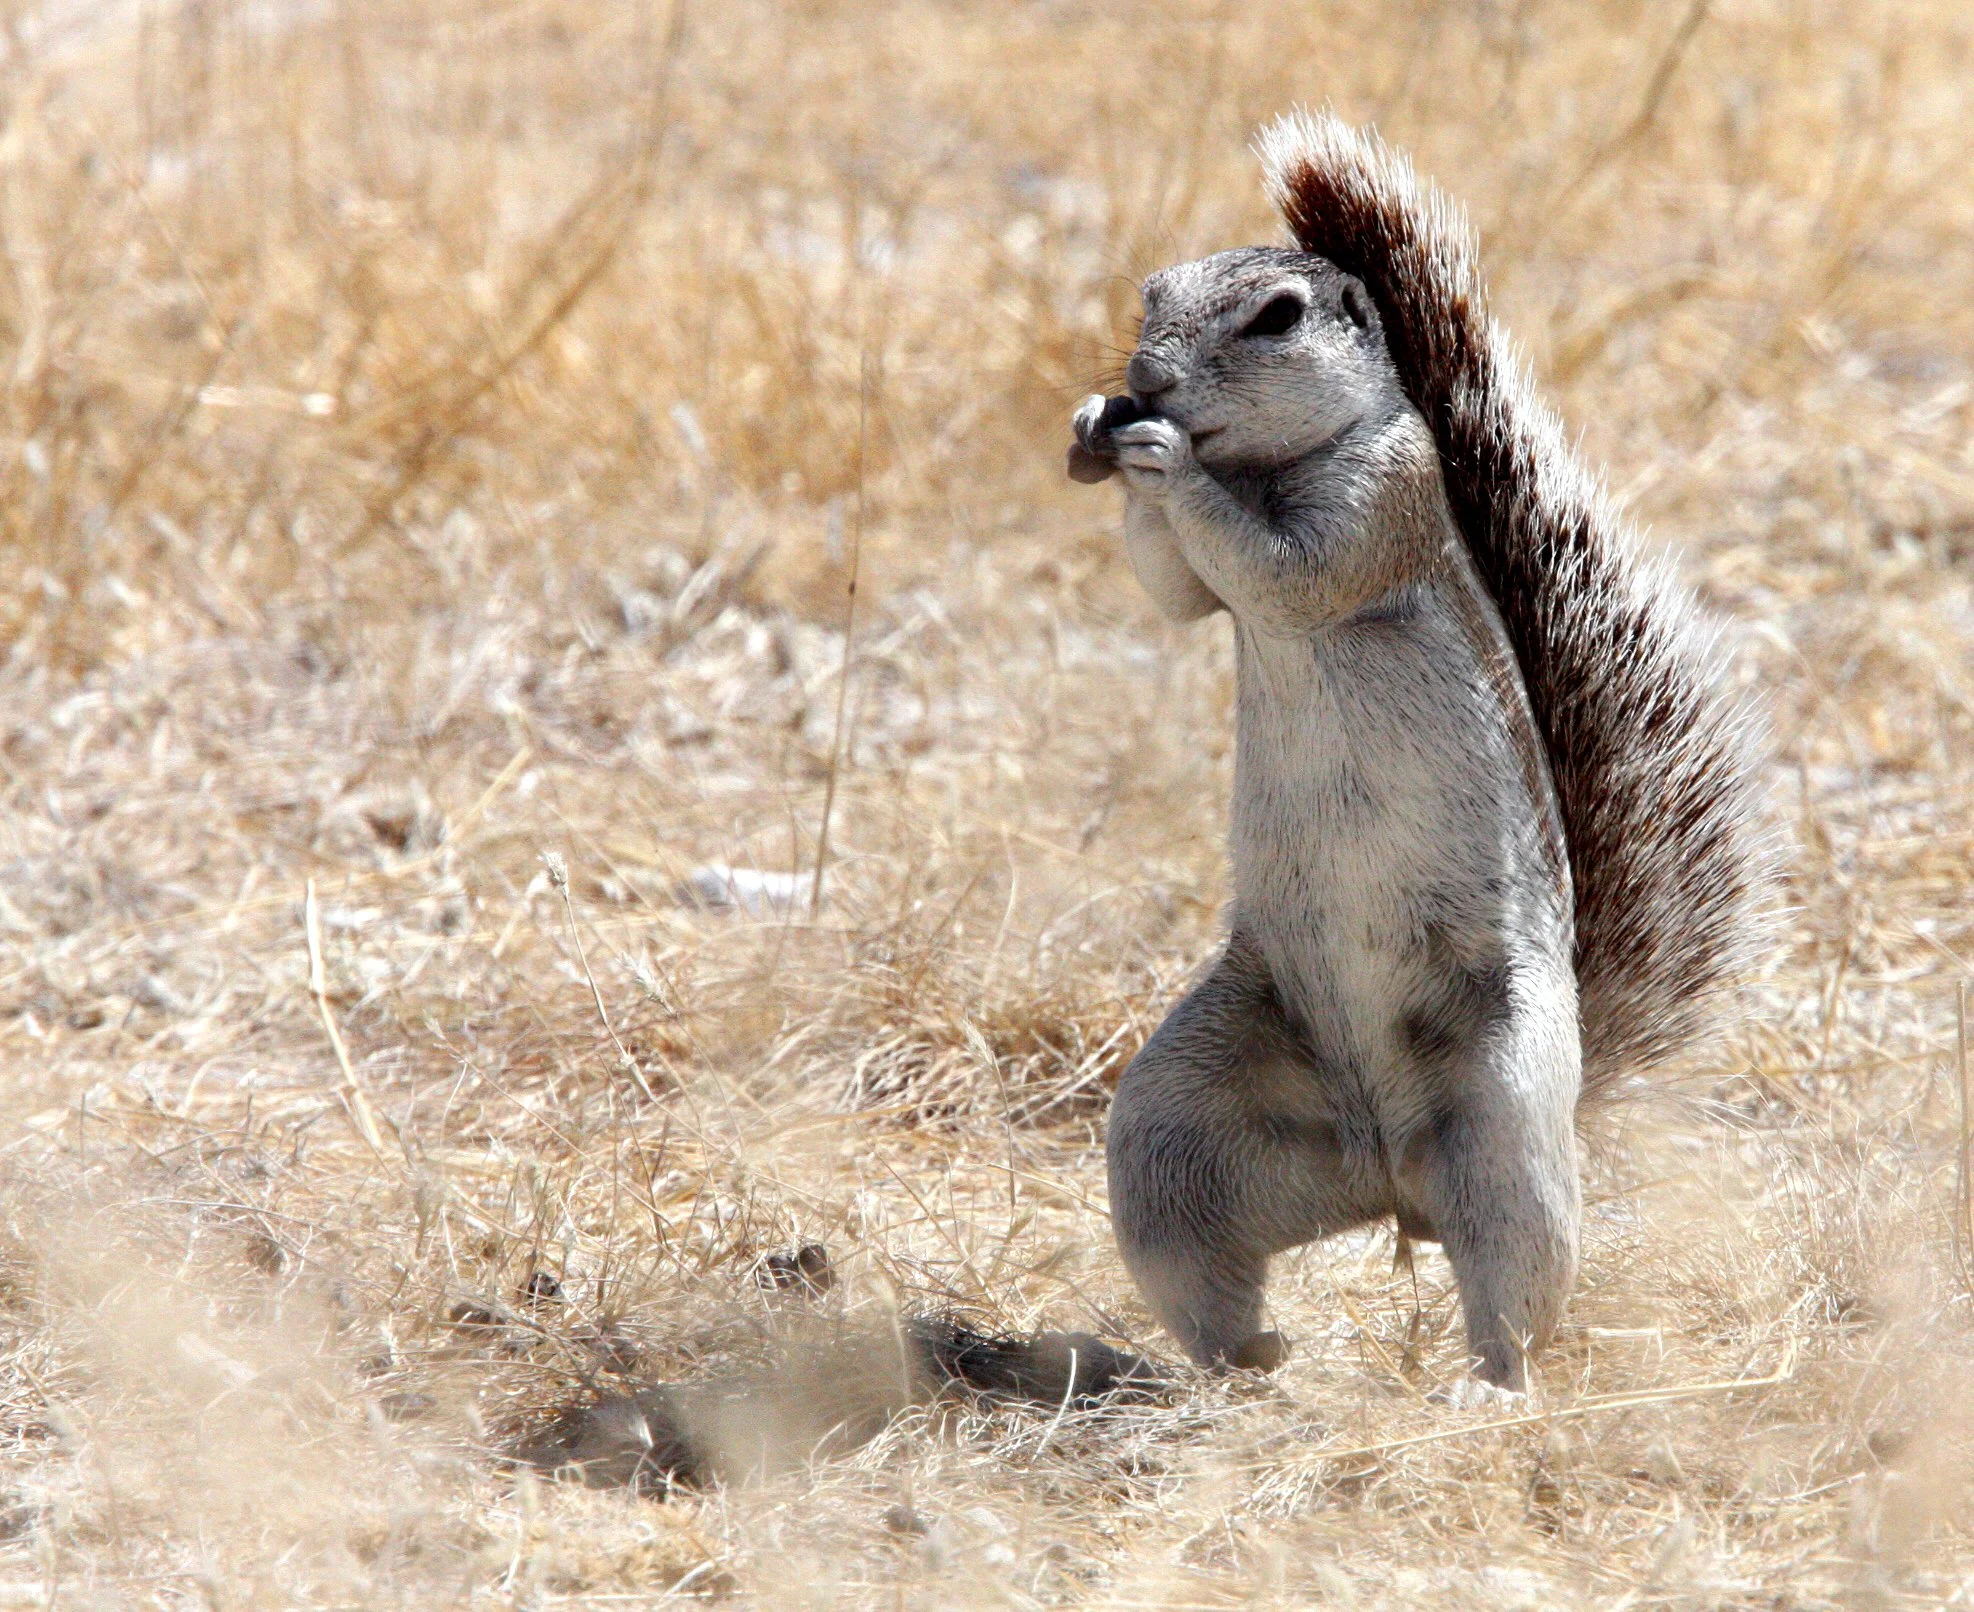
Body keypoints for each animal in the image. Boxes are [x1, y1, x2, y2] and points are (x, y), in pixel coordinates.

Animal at [1068, 112, 1771, 1393]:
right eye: (1148, 293)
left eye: (1278, 316)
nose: (1144, 384)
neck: (1268, 462)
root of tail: (1386, 1175)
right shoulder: (1204, 586)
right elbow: (1174, 589)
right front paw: (1097, 434)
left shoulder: (1377, 503)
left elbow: (1277, 566)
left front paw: (1163, 460)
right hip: (1177, 1128)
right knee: (1203, 1257)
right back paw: (1246, 1361)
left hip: (1503, 1115)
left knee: (1517, 1273)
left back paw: (1488, 1384)